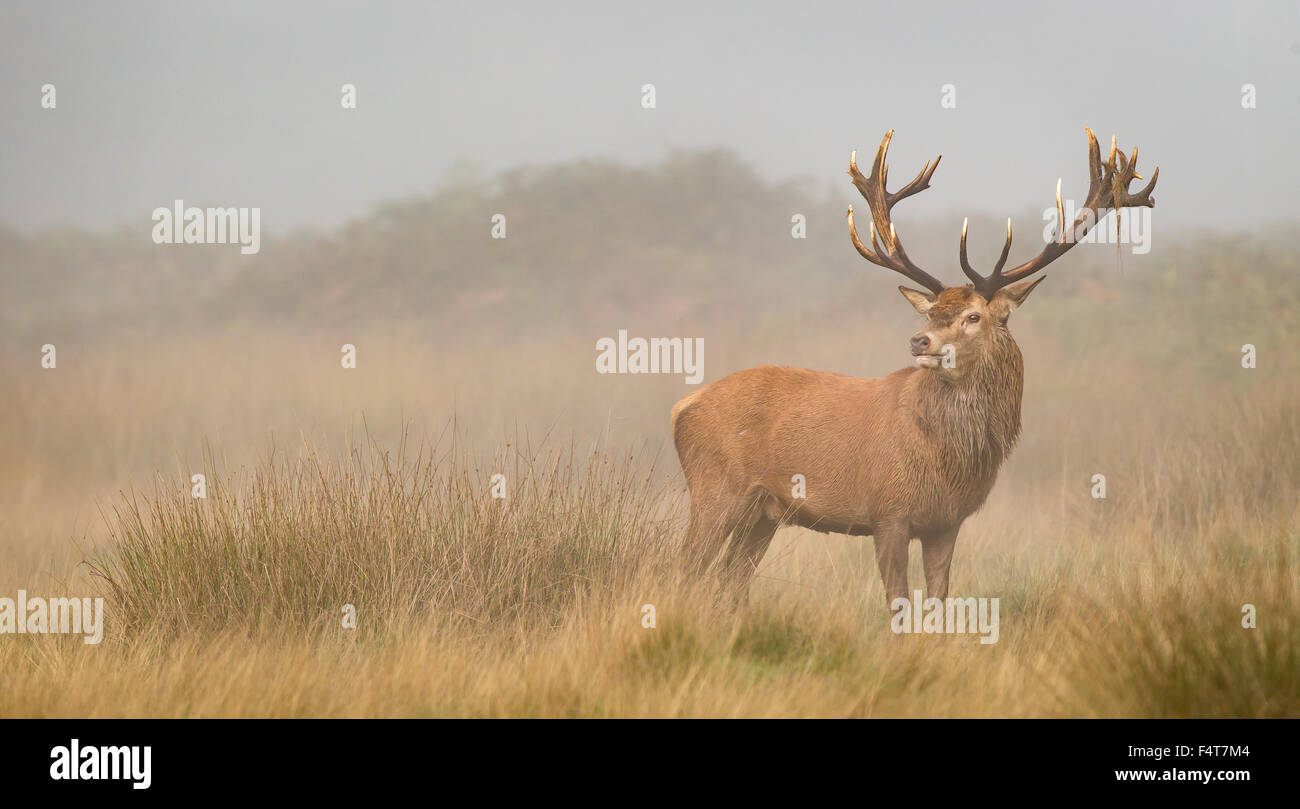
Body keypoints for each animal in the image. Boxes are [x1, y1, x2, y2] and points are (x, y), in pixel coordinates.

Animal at [671, 128, 1158, 606]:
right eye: (931, 313)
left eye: (973, 317)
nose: (919, 340)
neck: (946, 462)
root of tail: (682, 407)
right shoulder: (887, 511)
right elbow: (899, 602)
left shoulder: (947, 523)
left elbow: (939, 599)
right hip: (715, 489)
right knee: (685, 567)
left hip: (763, 513)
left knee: (731, 581)